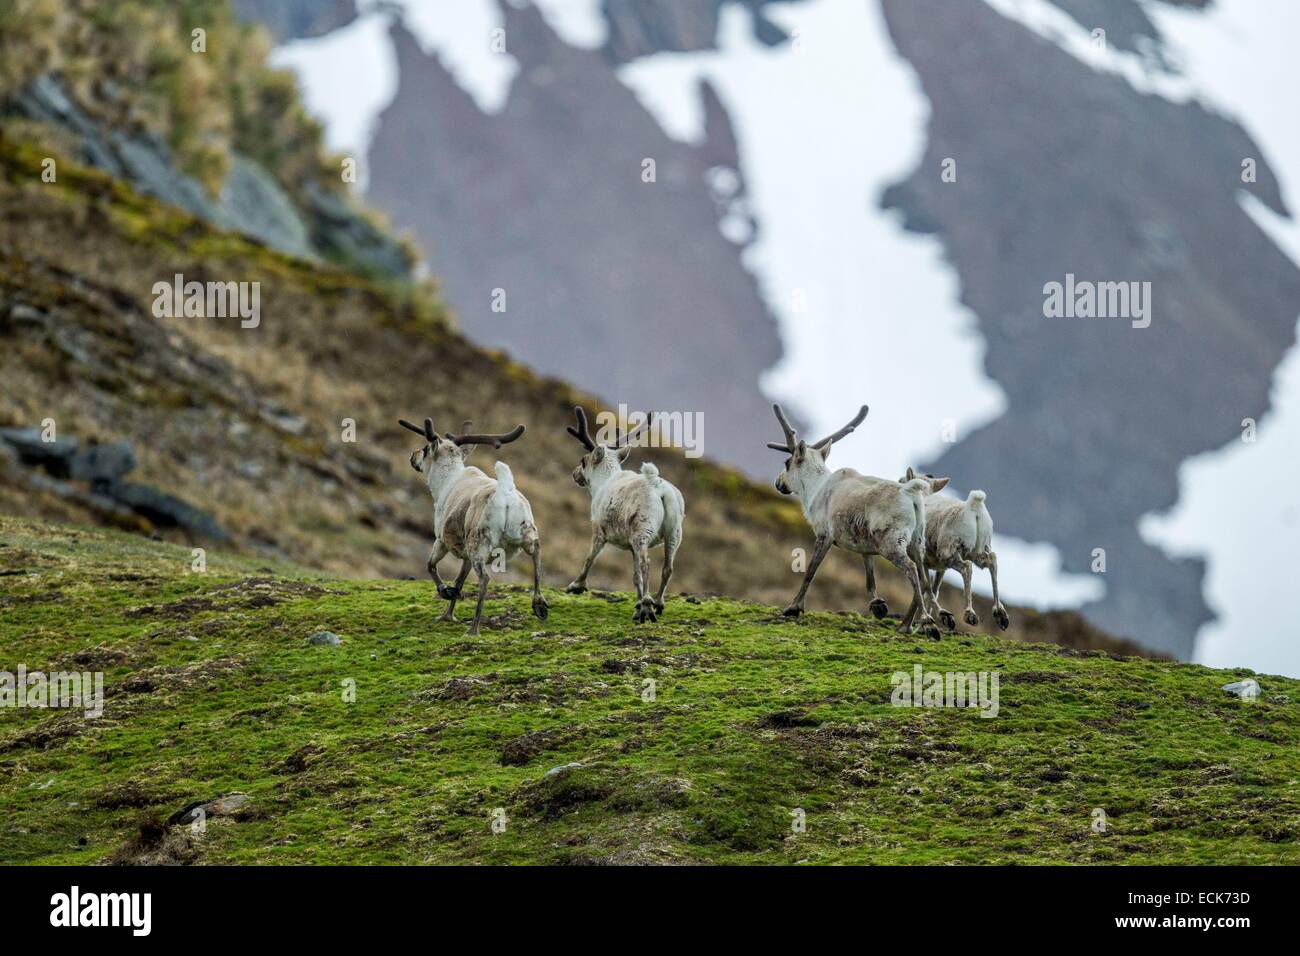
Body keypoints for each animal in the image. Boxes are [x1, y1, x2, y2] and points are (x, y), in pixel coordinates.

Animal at [399, 417, 548, 636]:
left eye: (425, 449)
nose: (412, 455)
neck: (445, 481)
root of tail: (505, 493)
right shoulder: (465, 555)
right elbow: (459, 581)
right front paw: (447, 615)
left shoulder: (441, 540)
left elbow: (431, 566)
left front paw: (446, 593)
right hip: (526, 529)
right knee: (536, 552)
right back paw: (539, 604)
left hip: (479, 542)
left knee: (484, 579)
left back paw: (473, 629)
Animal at [563, 407, 685, 624]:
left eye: (583, 461)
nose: (574, 473)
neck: (603, 482)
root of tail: (660, 489)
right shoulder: (630, 546)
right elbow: (635, 575)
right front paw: (637, 605)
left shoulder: (599, 531)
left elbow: (590, 558)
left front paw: (576, 585)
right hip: (674, 532)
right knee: (667, 568)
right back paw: (657, 604)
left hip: (643, 530)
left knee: (647, 564)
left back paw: (648, 607)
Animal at [767, 404, 943, 637]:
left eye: (787, 463)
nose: (778, 483)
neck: (815, 489)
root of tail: (912, 493)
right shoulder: (864, 543)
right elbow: (869, 574)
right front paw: (878, 605)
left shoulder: (824, 535)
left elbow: (811, 571)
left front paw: (793, 607)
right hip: (917, 542)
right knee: (924, 577)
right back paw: (907, 624)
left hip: (891, 543)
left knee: (913, 570)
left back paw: (927, 624)